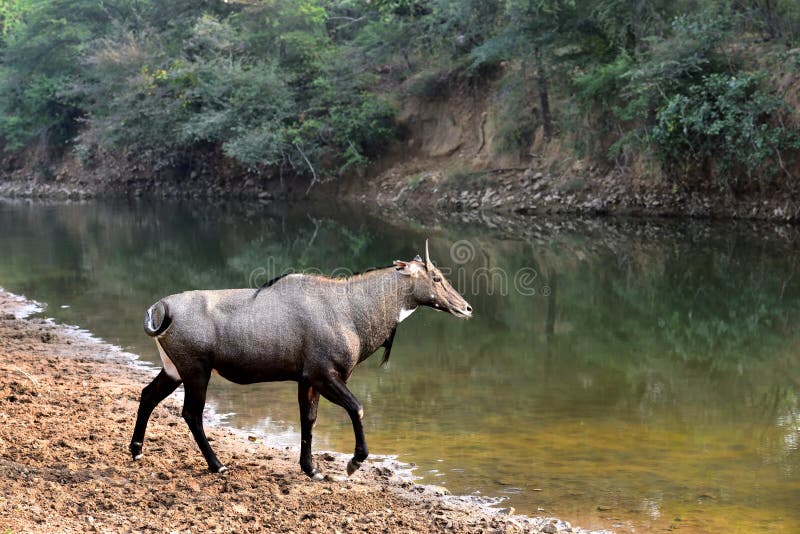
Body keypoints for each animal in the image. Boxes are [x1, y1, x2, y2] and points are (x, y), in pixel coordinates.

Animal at [129, 241, 472, 480]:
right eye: (437, 277)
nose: (466, 308)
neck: (351, 310)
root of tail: (159, 309)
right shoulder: (325, 374)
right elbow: (357, 408)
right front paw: (353, 463)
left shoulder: (307, 380)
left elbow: (308, 420)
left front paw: (312, 469)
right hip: (196, 371)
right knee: (191, 413)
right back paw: (218, 466)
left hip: (174, 370)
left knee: (148, 395)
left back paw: (136, 451)